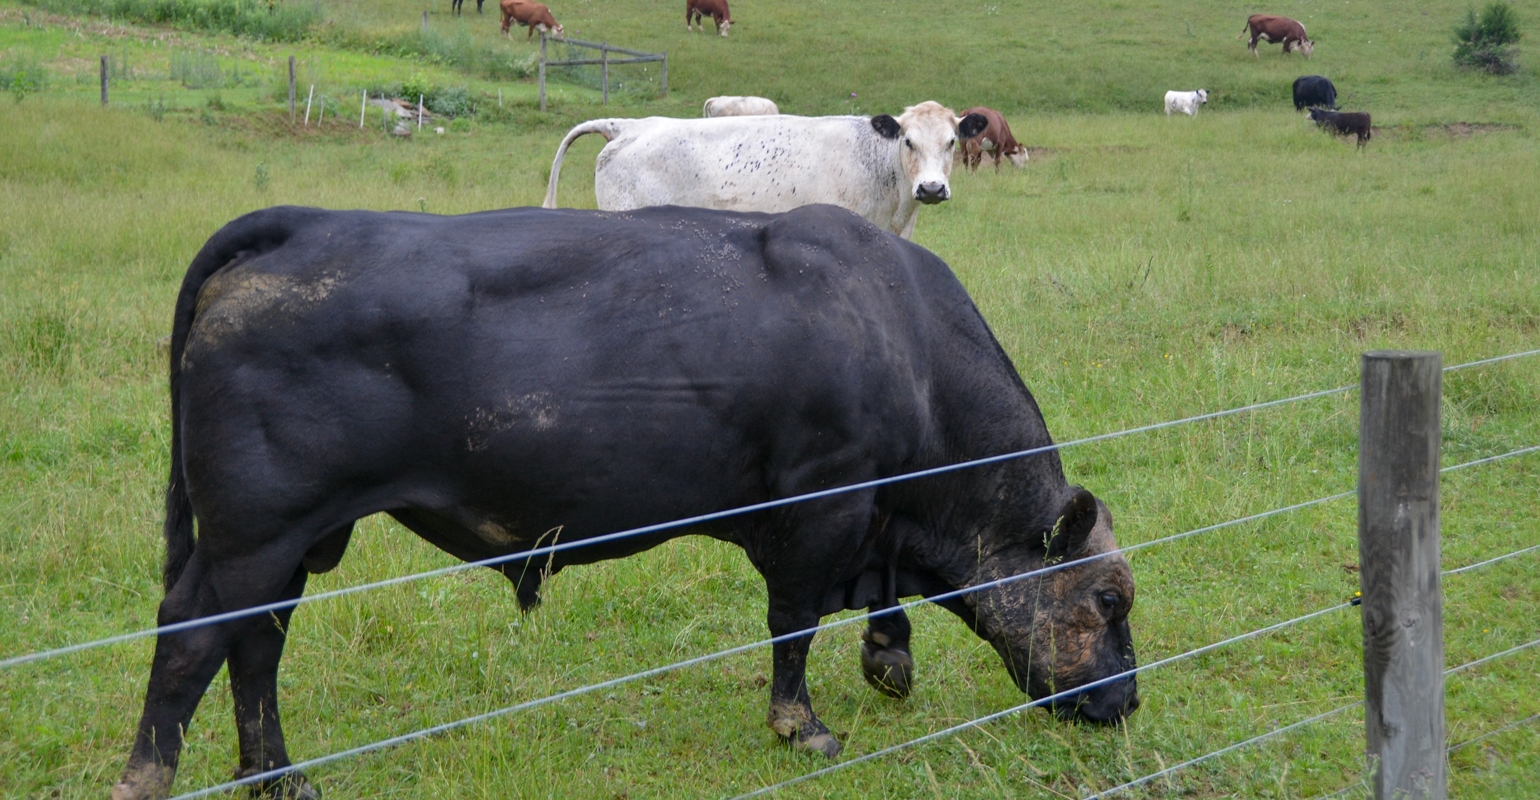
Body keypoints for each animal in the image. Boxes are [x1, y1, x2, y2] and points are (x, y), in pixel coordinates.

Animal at [110, 203, 1139, 800]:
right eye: (1109, 600)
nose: (1127, 701)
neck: (901, 335)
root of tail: (308, 222)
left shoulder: (868, 520)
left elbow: (870, 610)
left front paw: (888, 658)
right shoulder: (822, 504)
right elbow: (794, 624)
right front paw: (800, 725)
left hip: (295, 542)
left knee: (256, 646)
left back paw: (276, 777)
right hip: (251, 535)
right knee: (193, 641)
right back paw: (153, 778)